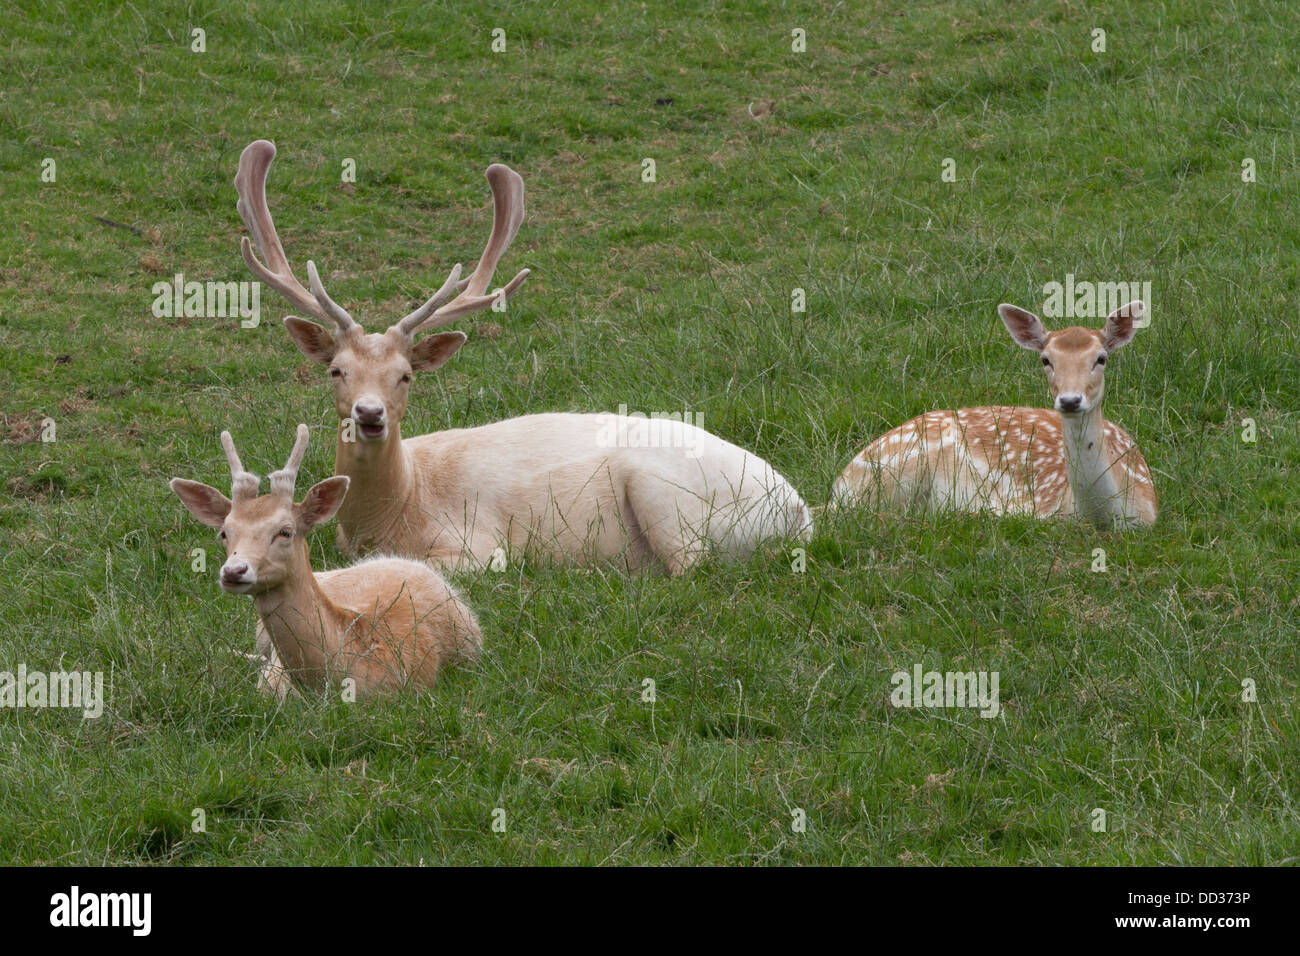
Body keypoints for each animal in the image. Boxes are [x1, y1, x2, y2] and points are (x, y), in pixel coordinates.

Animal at [233, 140, 812, 574]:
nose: (369, 414)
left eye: (405, 376)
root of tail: (798, 510)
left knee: (691, 566)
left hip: (667, 498)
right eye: (336, 370)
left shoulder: (479, 544)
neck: (389, 515)